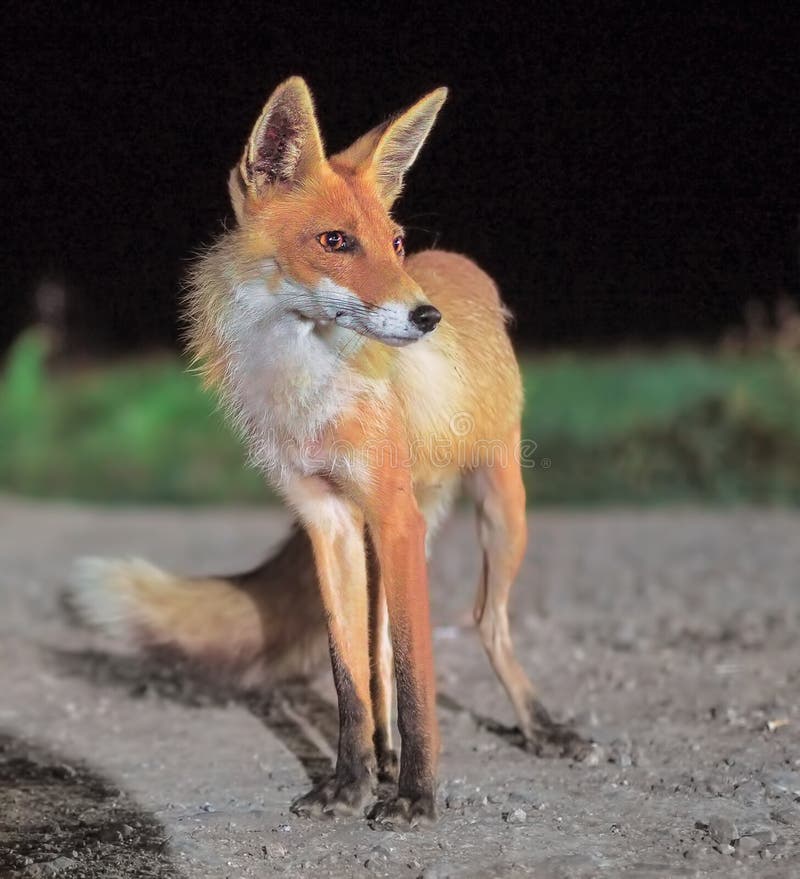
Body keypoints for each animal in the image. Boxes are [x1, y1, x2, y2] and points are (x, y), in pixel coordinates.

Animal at [69, 77, 581, 828]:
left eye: (394, 242)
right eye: (335, 241)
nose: (426, 318)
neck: (305, 387)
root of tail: (456, 262)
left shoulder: (394, 515)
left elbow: (415, 675)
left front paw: (417, 796)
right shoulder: (328, 519)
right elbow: (350, 673)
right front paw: (351, 782)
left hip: (497, 508)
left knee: (487, 623)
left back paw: (538, 725)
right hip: (396, 535)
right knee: (383, 642)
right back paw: (387, 753)